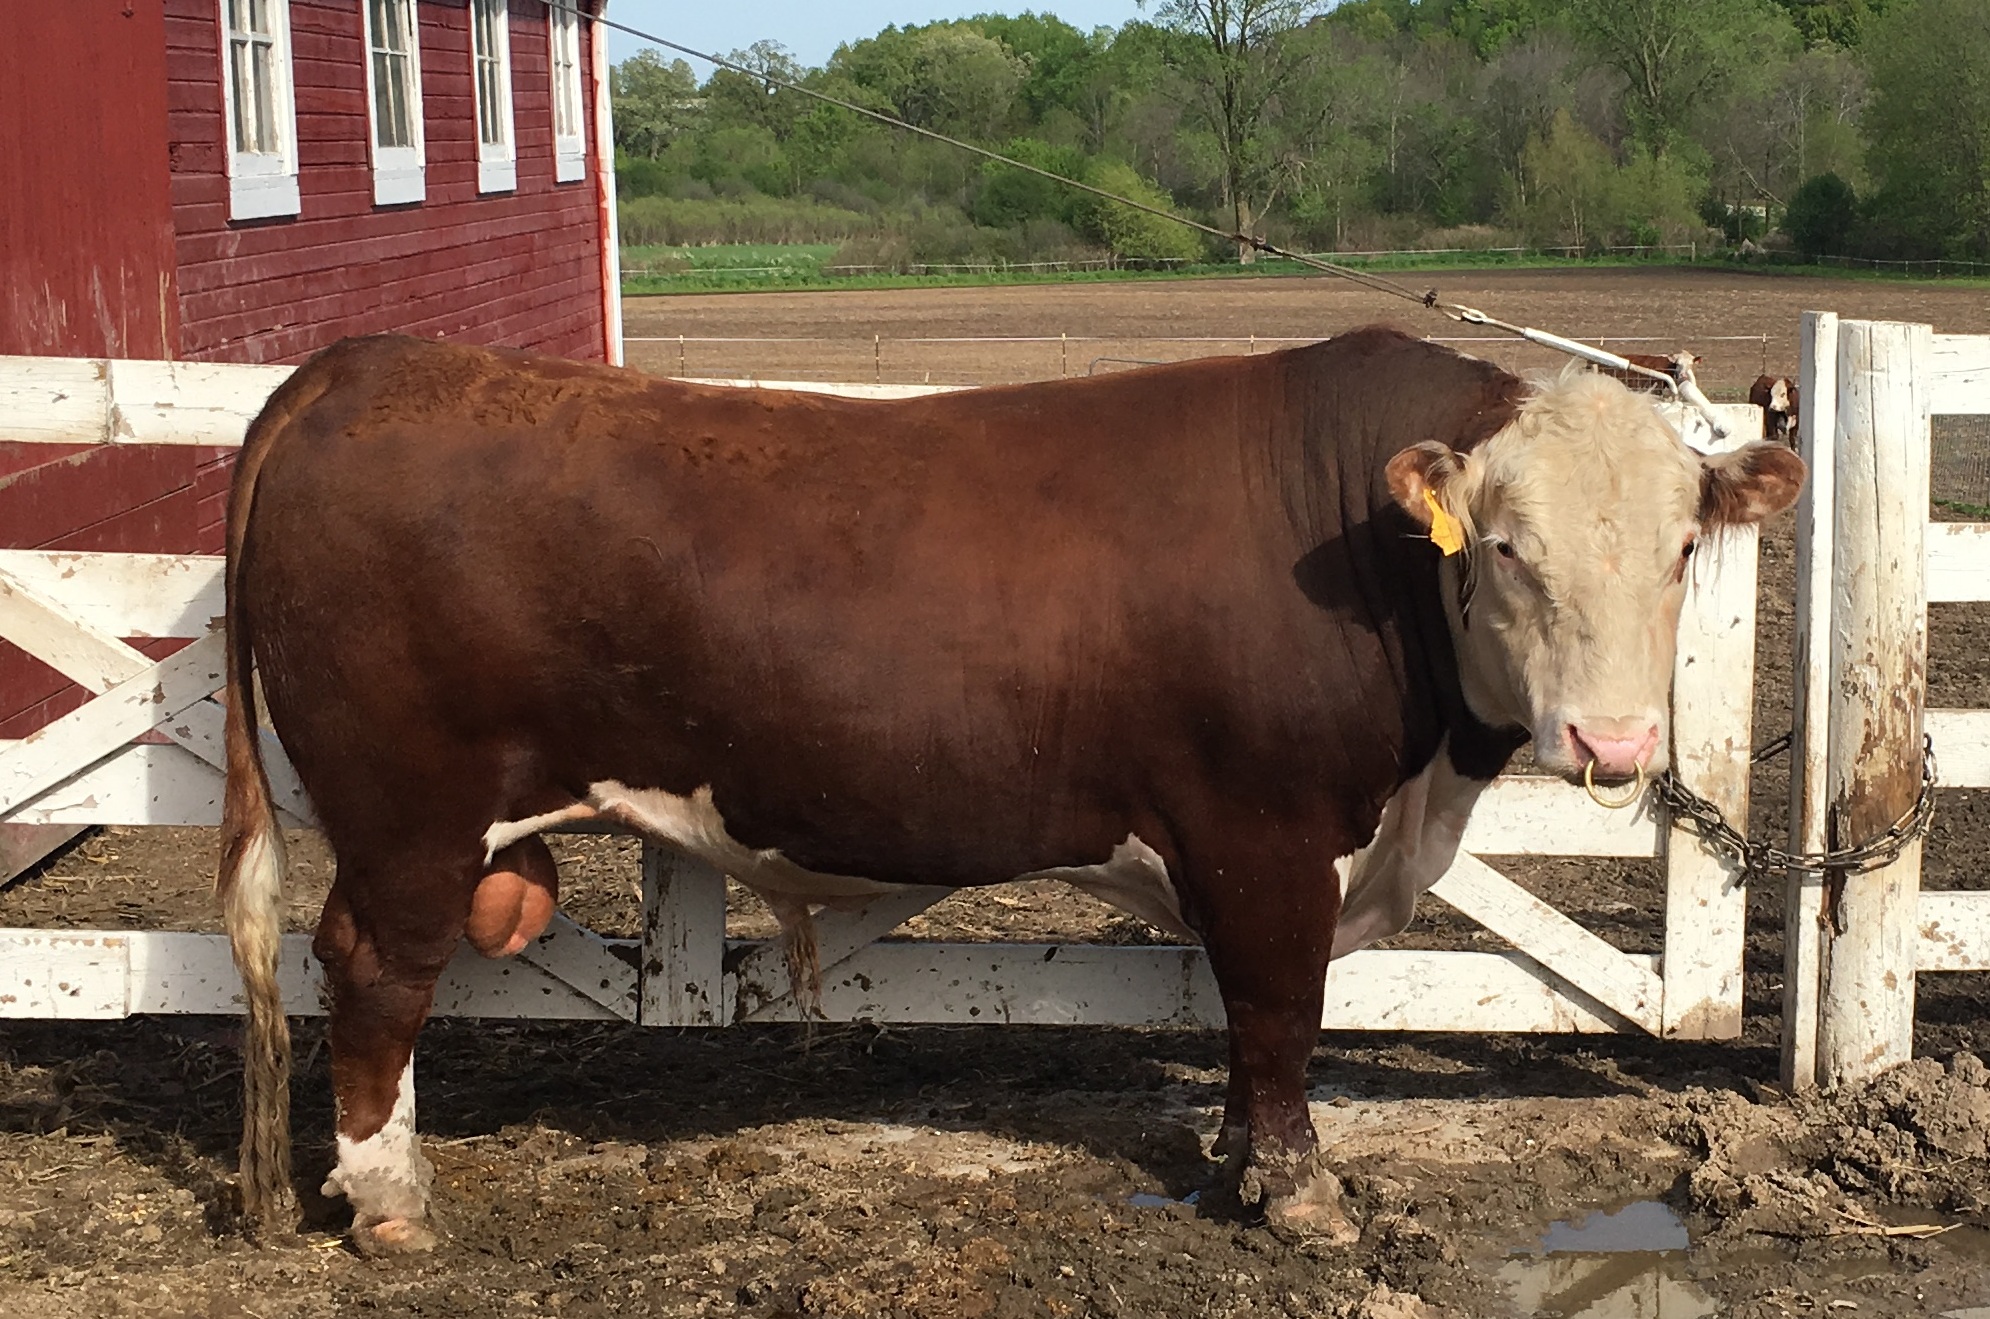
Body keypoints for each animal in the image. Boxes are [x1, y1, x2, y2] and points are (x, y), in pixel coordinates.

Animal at [216, 328, 1804, 1254]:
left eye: (1681, 549)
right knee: (374, 969)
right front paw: (1298, 1194)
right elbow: (1277, 1008)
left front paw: (1242, 1161)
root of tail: (367, 364)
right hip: (410, 811)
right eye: (1509, 548)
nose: (1612, 742)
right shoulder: (1264, 833)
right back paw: (390, 1201)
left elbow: (1253, 1031)